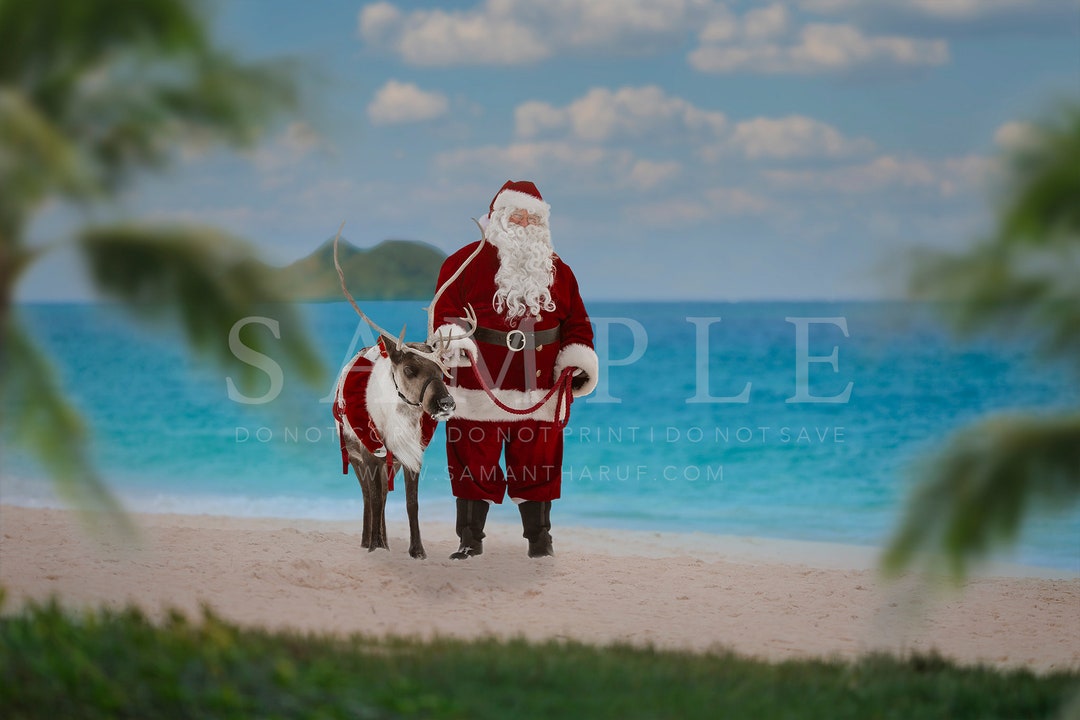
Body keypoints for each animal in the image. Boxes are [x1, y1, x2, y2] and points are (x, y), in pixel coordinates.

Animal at [331, 223, 478, 558]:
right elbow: (374, 499)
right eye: (410, 369)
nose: (446, 403)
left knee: (384, 496)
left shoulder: (411, 456)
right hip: (354, 455)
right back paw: (369, 541)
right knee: (368, 496)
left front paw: (417, 550)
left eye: (443, 368)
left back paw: (384, 541)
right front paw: (373, 545)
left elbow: (411, 504)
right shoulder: (371, 455)